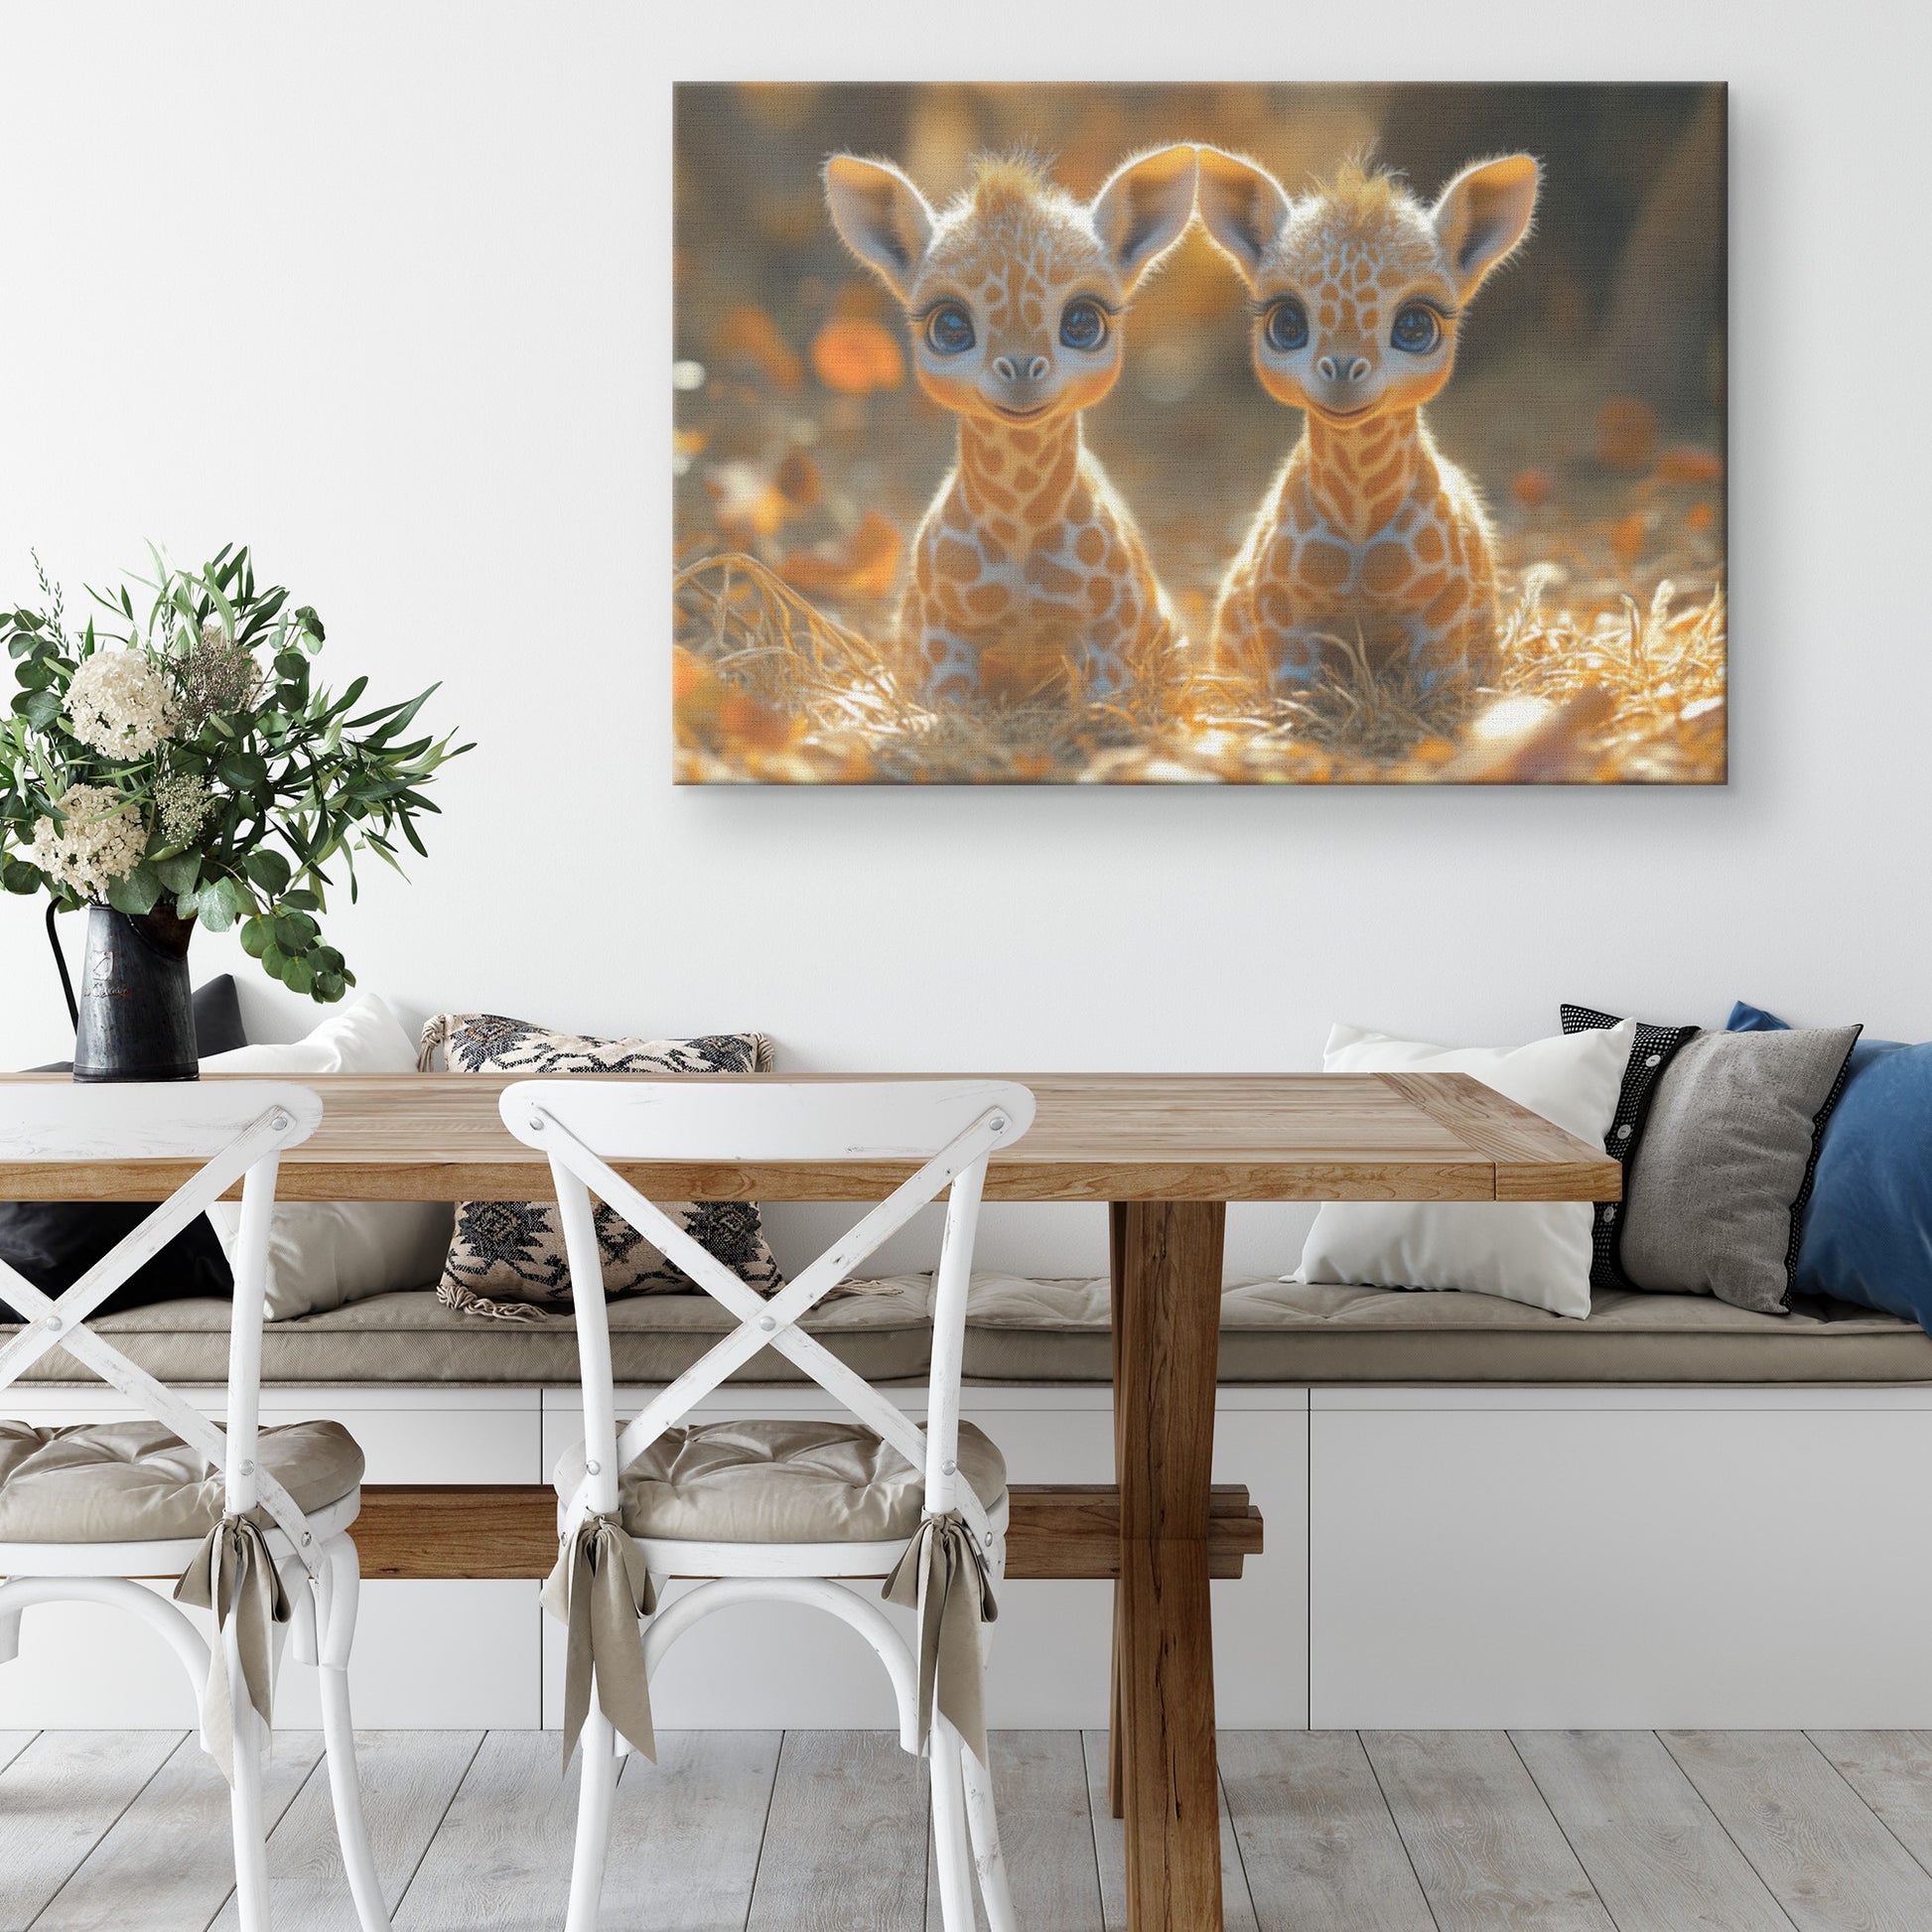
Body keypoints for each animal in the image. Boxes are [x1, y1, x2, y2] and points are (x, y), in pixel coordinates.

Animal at [823, 146, 1198, 708]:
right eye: (949, 324)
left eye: (1084, 321)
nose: (1021, 369)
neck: (1020, 538)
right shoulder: (942, 631)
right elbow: (947, 704)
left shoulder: (1110, 627)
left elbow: (1109, 704)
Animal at [1195, 148, 1540, 700]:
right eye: (1286, 321)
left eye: (1416, 325)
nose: (1341, 370)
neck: (1358, 524)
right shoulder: (1278, 608)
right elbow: (1292, 692)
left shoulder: (1444, 605)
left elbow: (1439, 683)